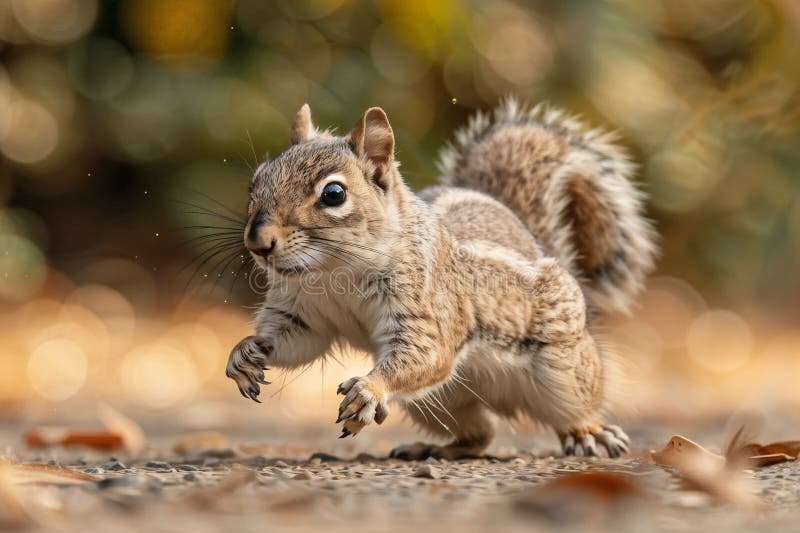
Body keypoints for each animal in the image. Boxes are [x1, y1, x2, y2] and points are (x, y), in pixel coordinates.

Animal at [225, 99, 657, 459]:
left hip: (564, 370)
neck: (334, 274)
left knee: (574, 407)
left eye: (333, 194)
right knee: (479, 434)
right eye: (254, 183)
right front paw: (247, 351)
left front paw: (369, 390)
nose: (257, 242)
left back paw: (589, 433)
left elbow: (427, 353)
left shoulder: (430, 308)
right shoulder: (304, 314)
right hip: (437, 404)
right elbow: (296, 342)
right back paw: (432, 449)